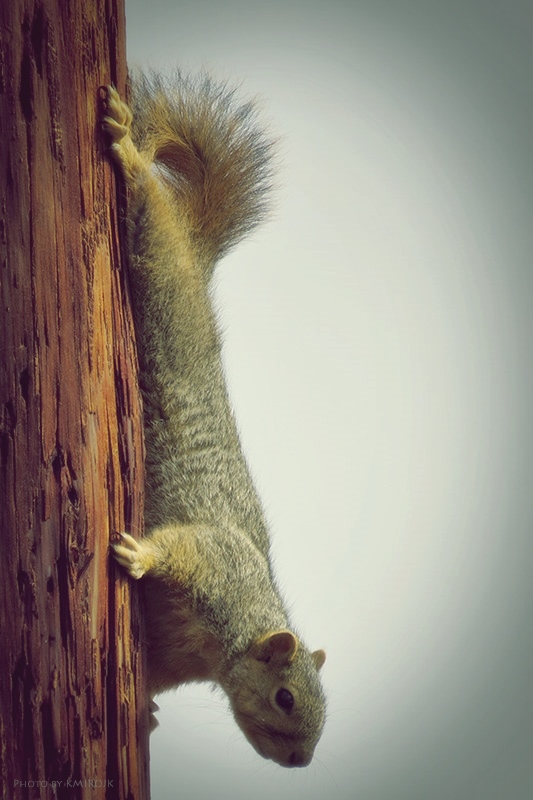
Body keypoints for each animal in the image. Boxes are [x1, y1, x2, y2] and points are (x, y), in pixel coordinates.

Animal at [100, 71, 326, 768]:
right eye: (285, 697)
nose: (300, 762)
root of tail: (199, 260)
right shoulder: (213, 565)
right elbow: (176, 546)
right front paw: (137, 553)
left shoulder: (174, 655)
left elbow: (151, 676)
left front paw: (145, 710)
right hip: (164, 286)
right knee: (151, 216)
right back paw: (129, 152)